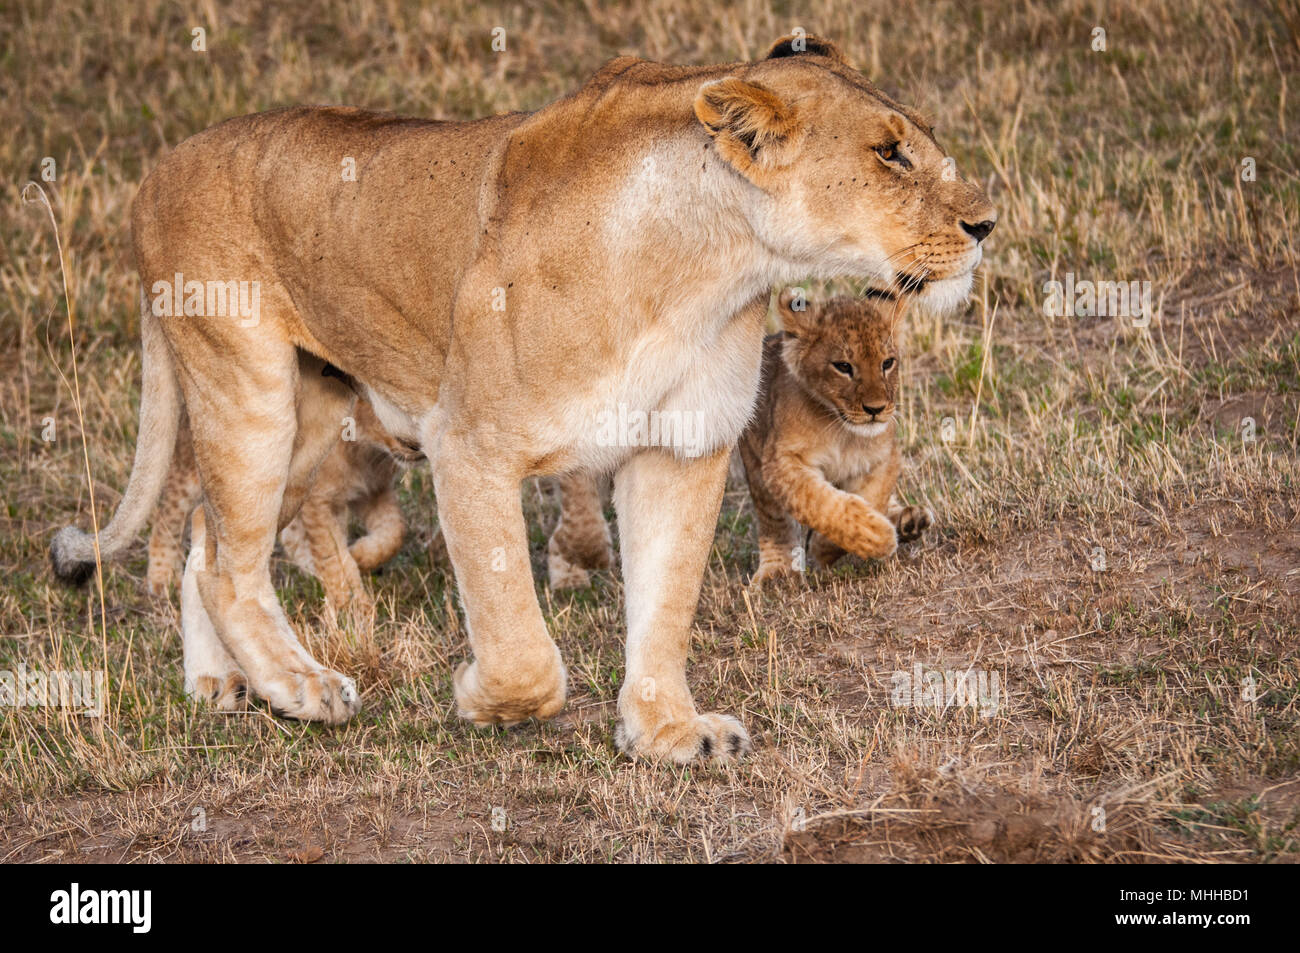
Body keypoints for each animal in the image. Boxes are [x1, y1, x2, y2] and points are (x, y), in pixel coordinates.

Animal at [739, 289, 933, 586]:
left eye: (887, 363)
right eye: (843, 366)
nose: (876, 409)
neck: (843, 432)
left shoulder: (884, 458)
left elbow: (874, 497)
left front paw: (827, 546)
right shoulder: (782, 462)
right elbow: (822, 505)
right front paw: (876, 537)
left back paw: (910, 521)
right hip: (755, 463)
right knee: (773, 521)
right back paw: (776, 573)